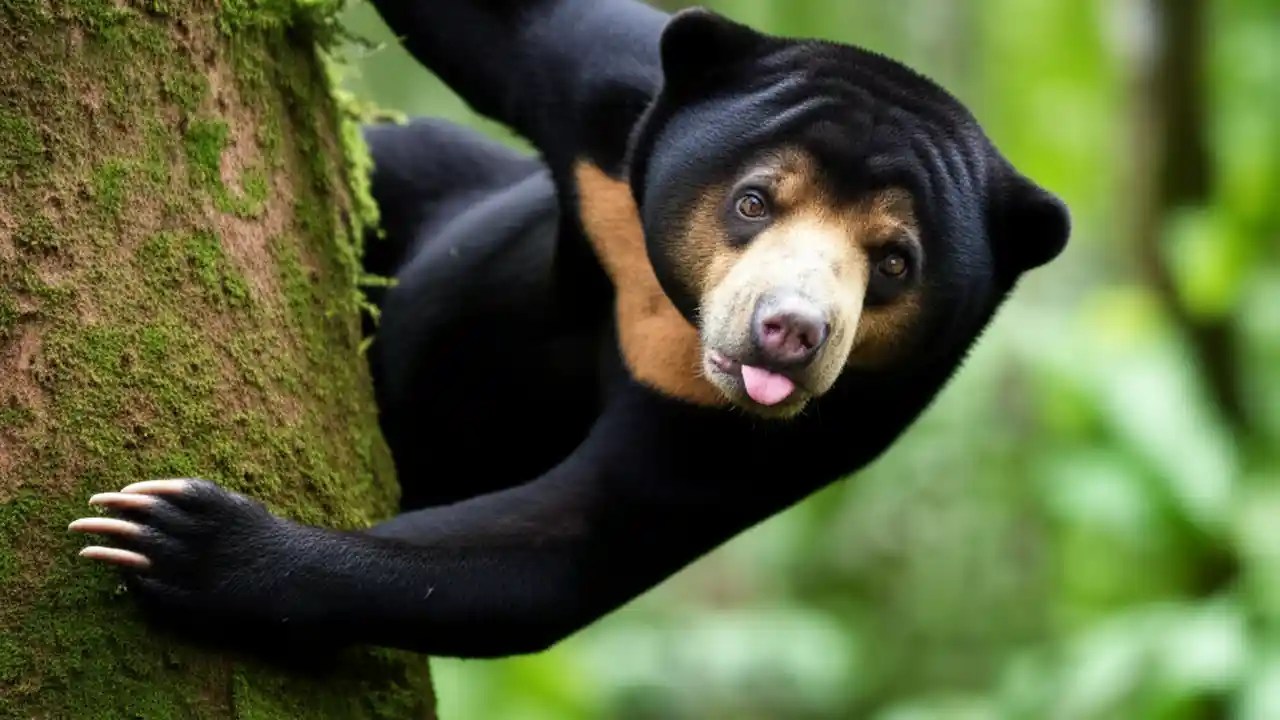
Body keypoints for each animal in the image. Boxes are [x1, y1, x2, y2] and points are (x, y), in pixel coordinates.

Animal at [70, 0, 1070, 658]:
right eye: (753, 200)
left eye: (895, 262)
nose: (789, 332)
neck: (666, 307)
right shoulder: (605, 96)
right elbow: (506, 16)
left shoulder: (818, 422)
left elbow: (566, 545)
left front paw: (176, 536)